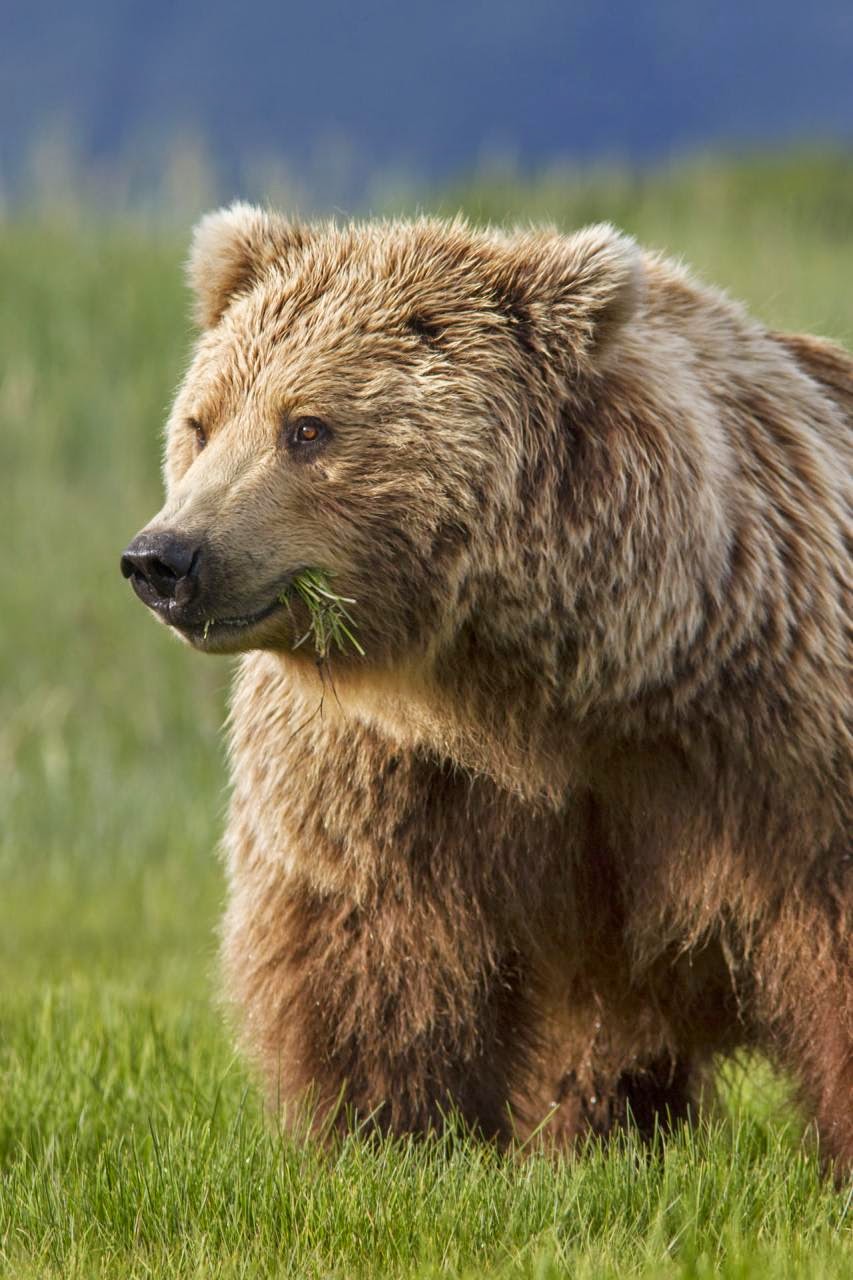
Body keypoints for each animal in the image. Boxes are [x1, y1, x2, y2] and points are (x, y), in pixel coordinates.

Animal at [121, 204, 852, 1174]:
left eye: (306, 427)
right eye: (201, 423)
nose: (164, 557)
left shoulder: (769, 738)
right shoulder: (391, 770)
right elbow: (366, 948)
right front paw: (387, 1136)